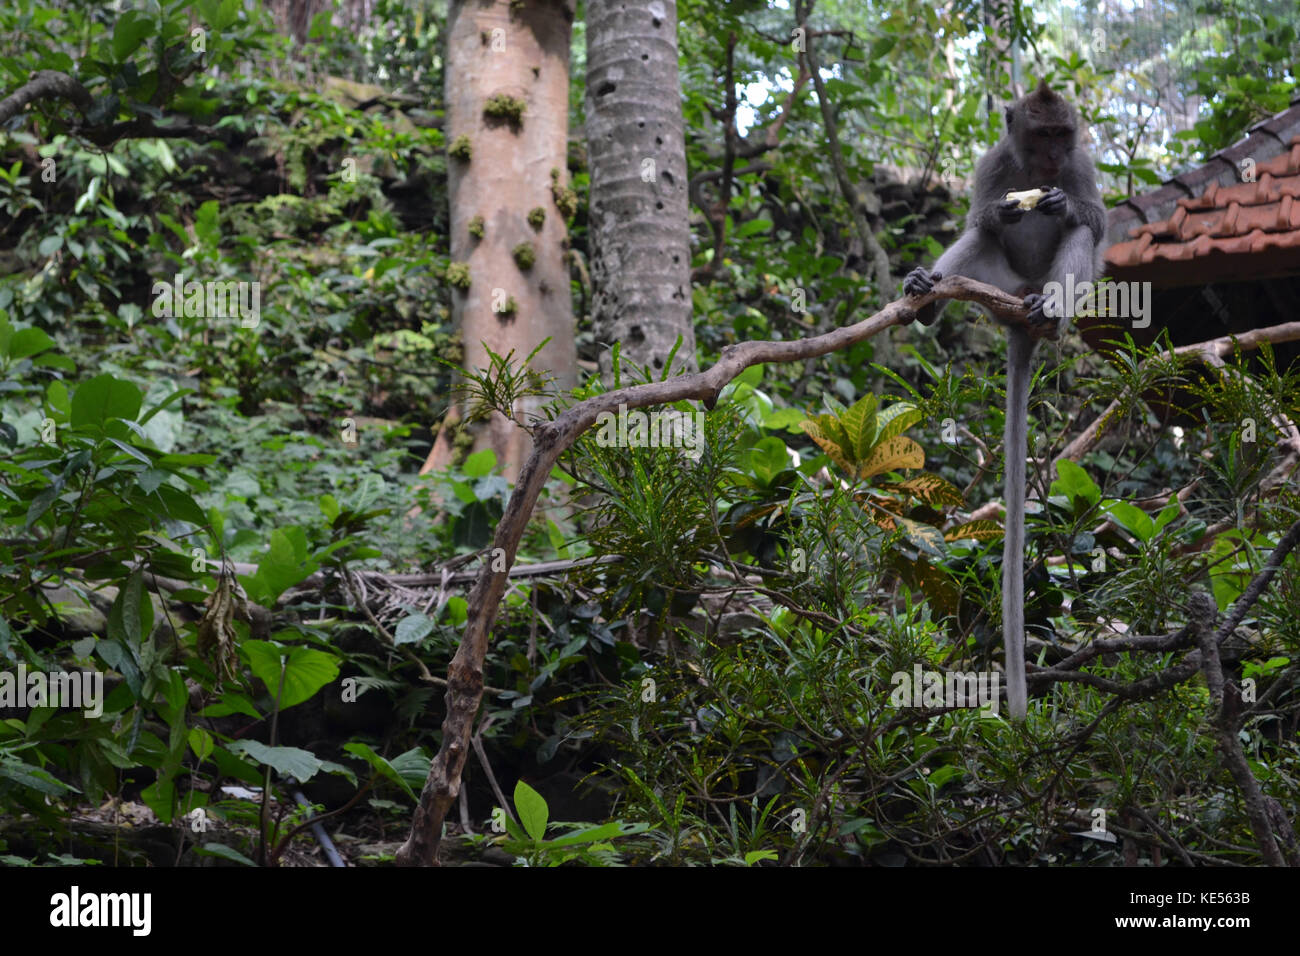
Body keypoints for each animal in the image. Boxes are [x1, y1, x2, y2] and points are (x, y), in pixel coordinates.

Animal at [903, 80, 1105, 720]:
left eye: (1063, 137)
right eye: (1040, 135)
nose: (1051, 162)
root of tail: (1017, 310)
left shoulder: (1081, 167)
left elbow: (1095, 219)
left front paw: (1061, 204)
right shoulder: (993, 165)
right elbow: (979, 217)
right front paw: (1002, 210)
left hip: (1050, 289)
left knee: (1080, 238)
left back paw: (1050, 313)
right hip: (996, 289)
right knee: (979, 239)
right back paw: (925, 295)